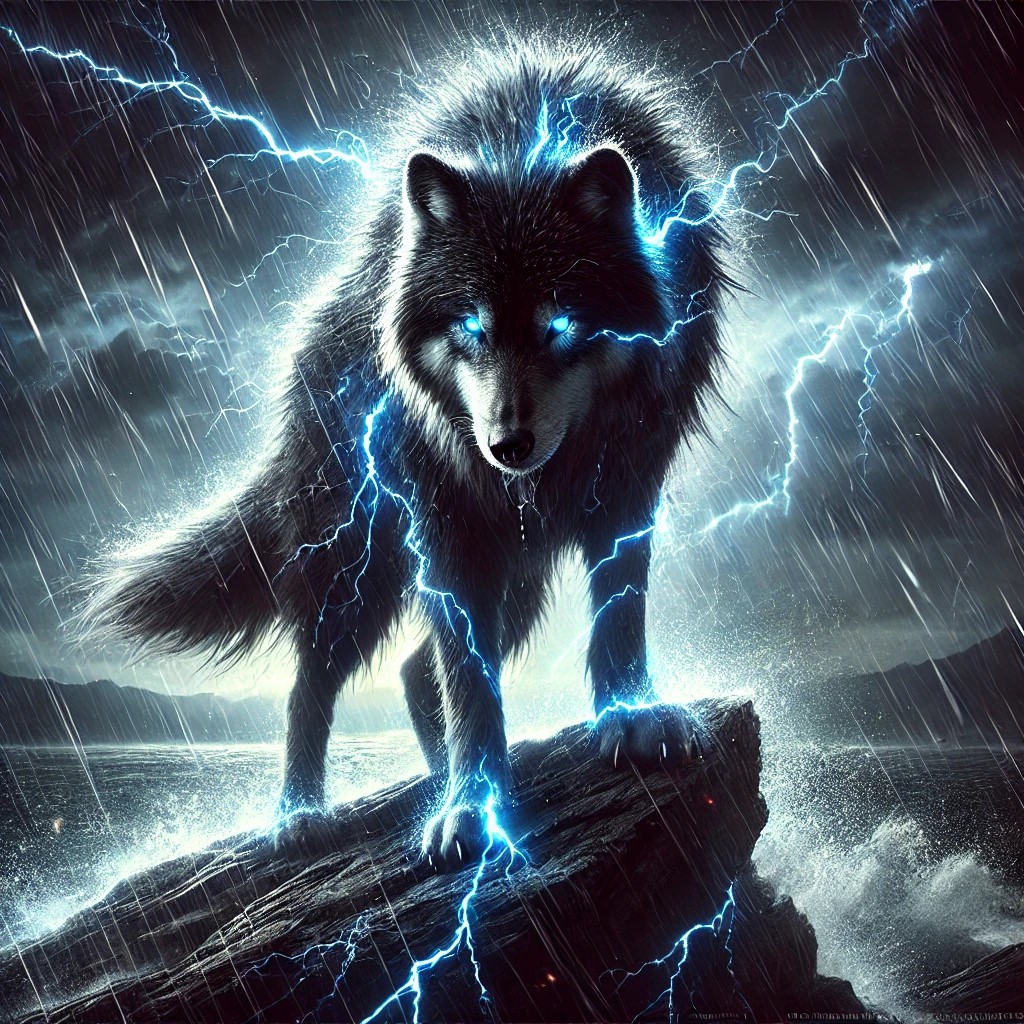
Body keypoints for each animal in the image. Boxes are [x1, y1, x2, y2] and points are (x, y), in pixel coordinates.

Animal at [85, 40, 726, 870]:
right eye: (472, 328)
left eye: (558, 326)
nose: (506, 446)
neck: (520, 144)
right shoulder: (447, 520)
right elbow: (468, 682)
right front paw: (470, 809)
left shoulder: (628, 484)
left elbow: (617, 618)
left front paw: (631, 719)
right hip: (355, 561)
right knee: (315, 681)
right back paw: (302, 815)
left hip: (514, 578)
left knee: (417, 675)